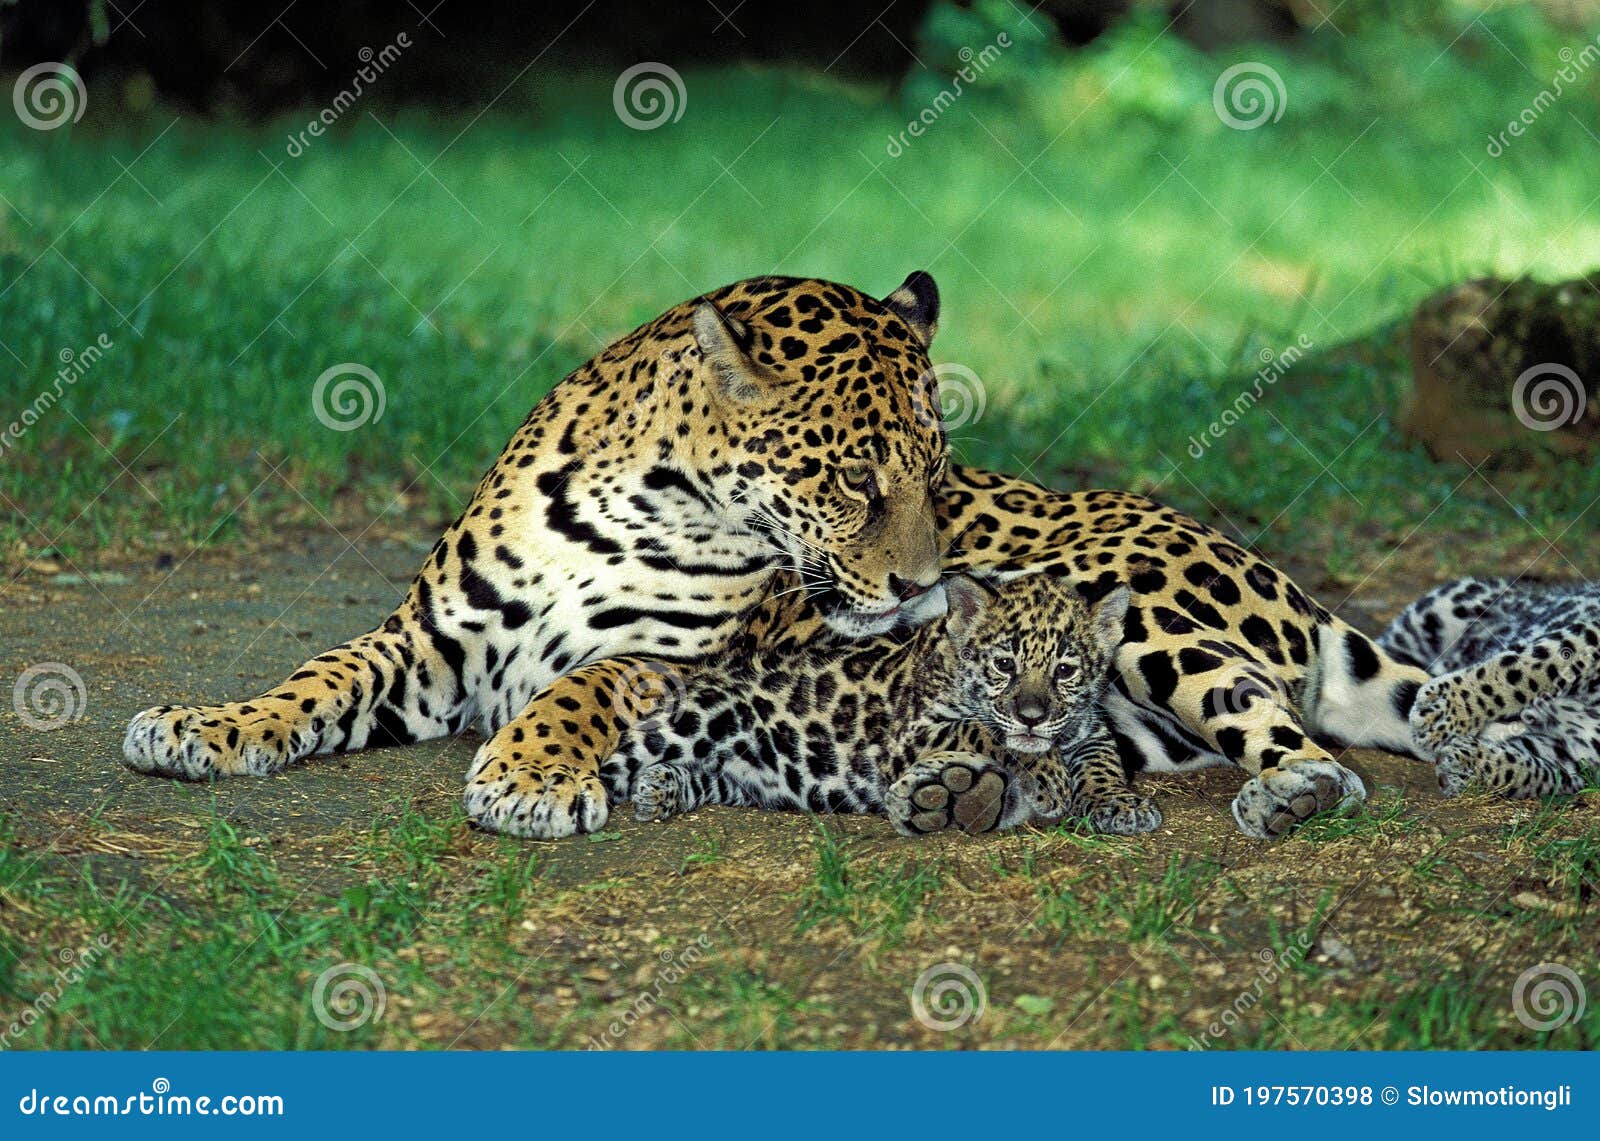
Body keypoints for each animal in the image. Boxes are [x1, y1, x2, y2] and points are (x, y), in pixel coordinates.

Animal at [604, 574, 1155, 837]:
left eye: (1065, 670)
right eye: (1003, 665)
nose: (1032, 717)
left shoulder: (1090, 730)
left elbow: (1102, 763)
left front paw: (1119, 805)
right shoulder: (912, 733)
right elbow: (982, 730)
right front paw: (1046, 775)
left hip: (740, 781)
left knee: (709, 778)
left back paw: (664, 788)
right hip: (701, 716)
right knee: (620, 764)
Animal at [1378, 575, 1600, 798]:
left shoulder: (1570, 756)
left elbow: (1537, 773)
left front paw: (1467, 766)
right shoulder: (1590, 632)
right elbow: (1537, 668)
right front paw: (1447, 711)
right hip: (1445, 607)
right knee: (1392, 643)